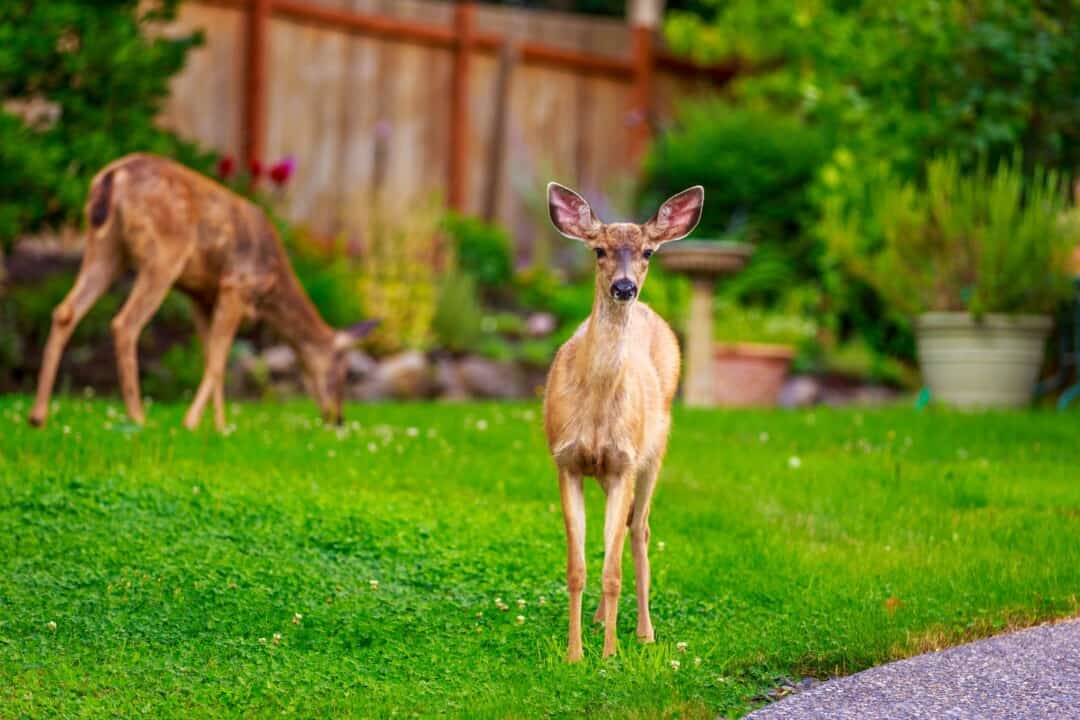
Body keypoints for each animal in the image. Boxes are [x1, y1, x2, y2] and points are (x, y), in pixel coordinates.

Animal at [28, 153, 377, 432]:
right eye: (344, 371)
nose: (338, 418)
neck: (271, 285)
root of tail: (114, 176)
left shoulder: (199, 295)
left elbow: (210, 354)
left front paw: (220, 426)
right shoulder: (235, 286)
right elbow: (219, 359)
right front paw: (194, 422)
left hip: (105, 246)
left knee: (65, 311)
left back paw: (38, 416)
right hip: (163, 255)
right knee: (125, 323)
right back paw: (138, 417)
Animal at [543, 182, 703, 662]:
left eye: (648, 251)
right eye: (599, 250)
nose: (625, 286)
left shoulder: (624, 463)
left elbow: (612, 570)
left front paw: (610, 655)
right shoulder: (567, 461)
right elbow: (577, 567)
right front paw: (574, 654)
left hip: (653, 452)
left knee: (640, 529)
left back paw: (644, 632)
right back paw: (599, 621)